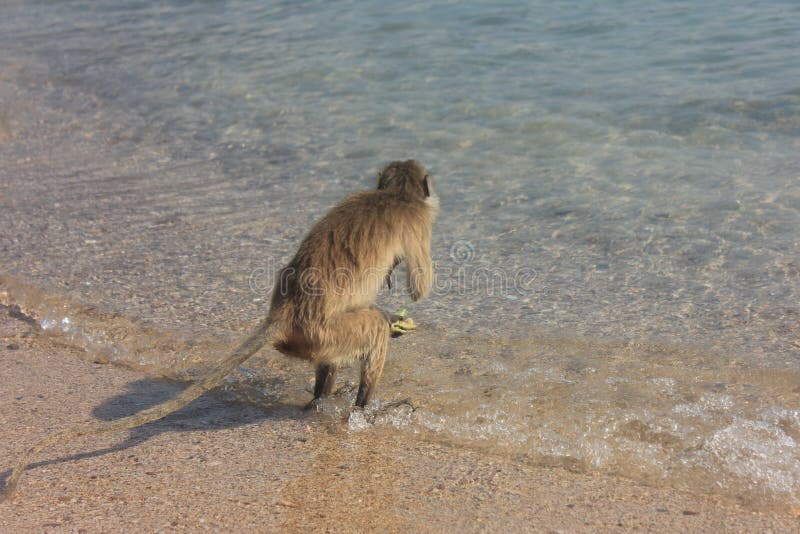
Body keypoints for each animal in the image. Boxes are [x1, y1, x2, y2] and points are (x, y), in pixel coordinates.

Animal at [2, 159, 437, 501]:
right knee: (373, 326)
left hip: (315, 340)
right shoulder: (416, 223)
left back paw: (322, 402)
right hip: (325, 333)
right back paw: (364, 409)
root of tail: (284, 311)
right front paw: (400, 311)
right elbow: (420, 285)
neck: (395, 196)